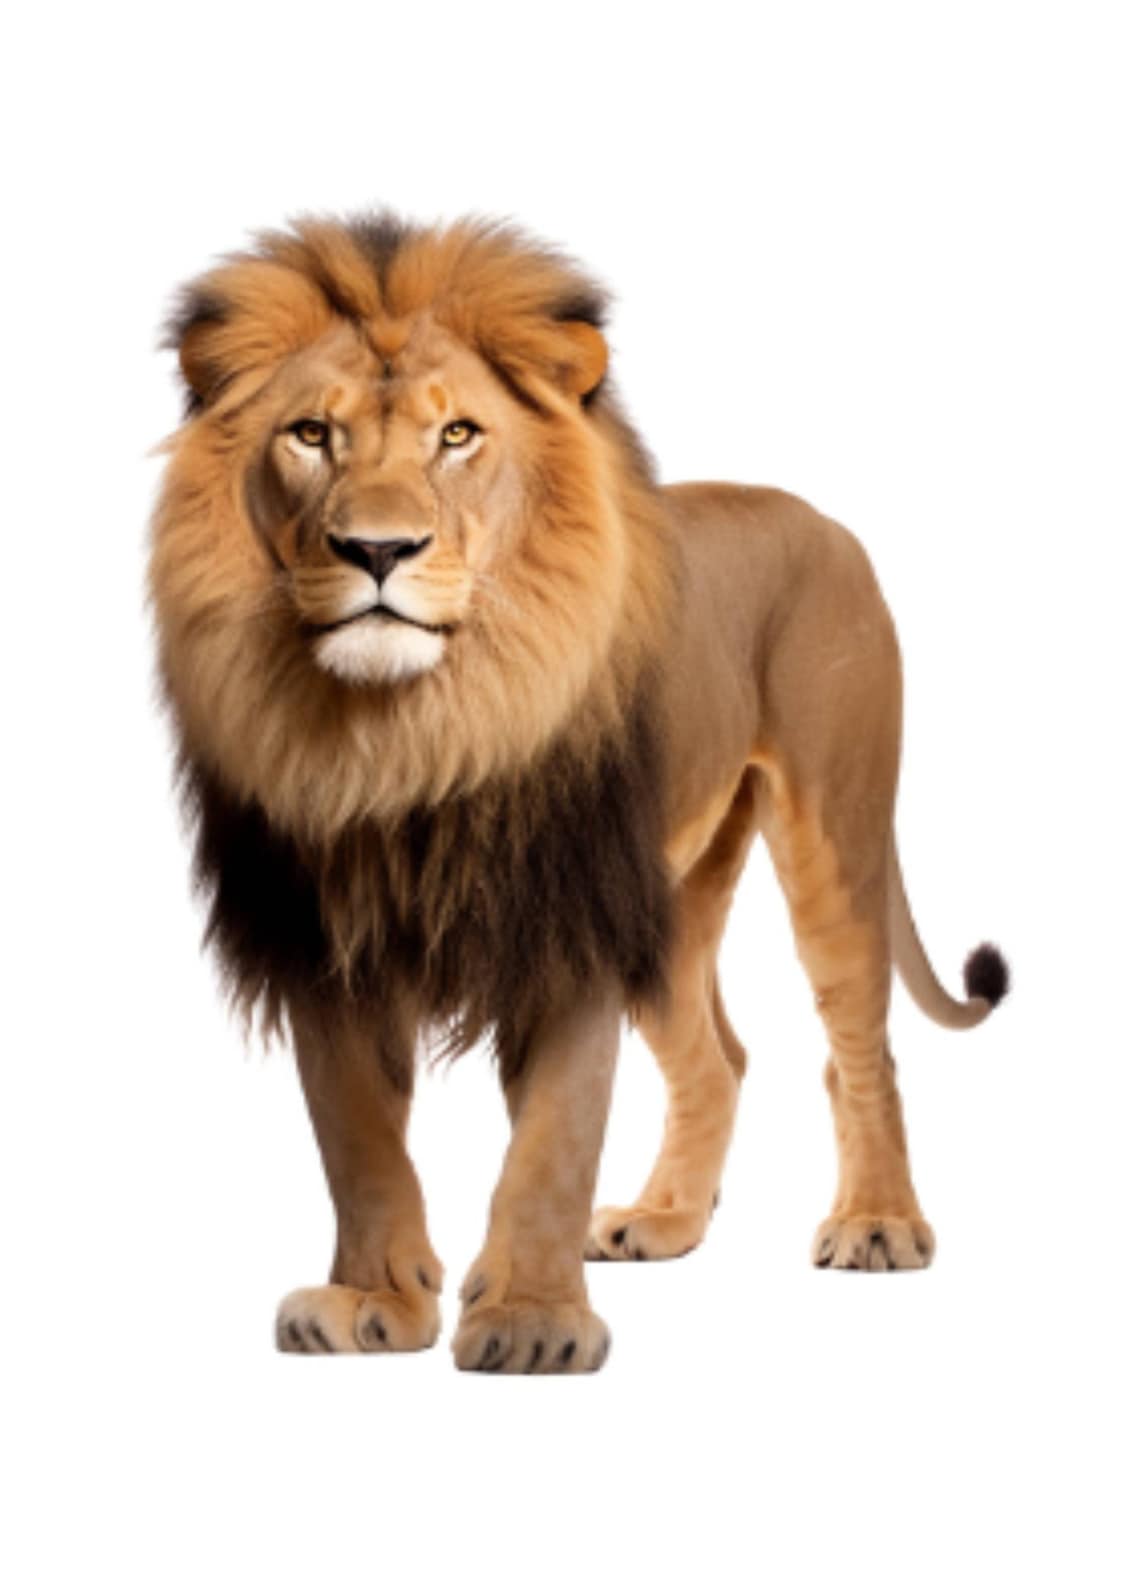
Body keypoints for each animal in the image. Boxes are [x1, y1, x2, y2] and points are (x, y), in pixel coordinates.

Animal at [150, 213, 1008, 1373]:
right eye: (311, 435)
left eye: (458, 435)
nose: (377, 549)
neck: (414, 730)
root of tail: (814, 513)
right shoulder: (323, 937)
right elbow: (358, 1141)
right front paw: (374, 1302)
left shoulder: (574, 919)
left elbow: (554, 1138)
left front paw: (531, 1322)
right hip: (679, 897)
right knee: (719, 1060)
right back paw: (663, 1221)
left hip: (835, 832)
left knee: (857, 1048)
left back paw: (877, 1223)